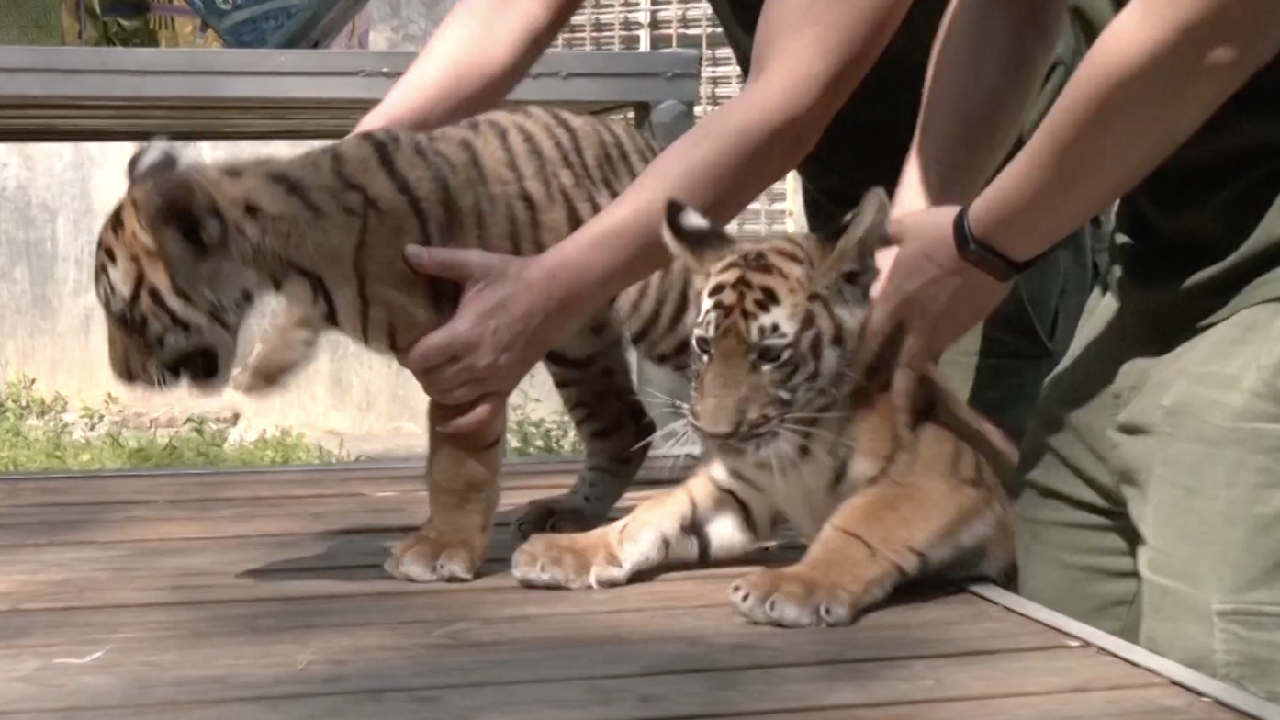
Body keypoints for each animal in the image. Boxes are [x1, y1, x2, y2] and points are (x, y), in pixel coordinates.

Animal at [91, 105, 703, 583]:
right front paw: (266, 368)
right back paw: (569, 513)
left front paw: (440, 550)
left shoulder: (461, 352)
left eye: (123, 310)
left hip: (661, 304)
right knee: (624, 427)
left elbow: (456, 463)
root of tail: (644, 143)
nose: (121, 374)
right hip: (575, 338)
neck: (277, 251)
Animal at [510, 187, 1018, 628]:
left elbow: (859, 526)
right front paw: (563, 550)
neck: (798, 448)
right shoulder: (739, 488)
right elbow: (651, 515)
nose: (714, 435)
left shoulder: (940, 477)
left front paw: (793, 585)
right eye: (705, 346)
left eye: (769, 354)